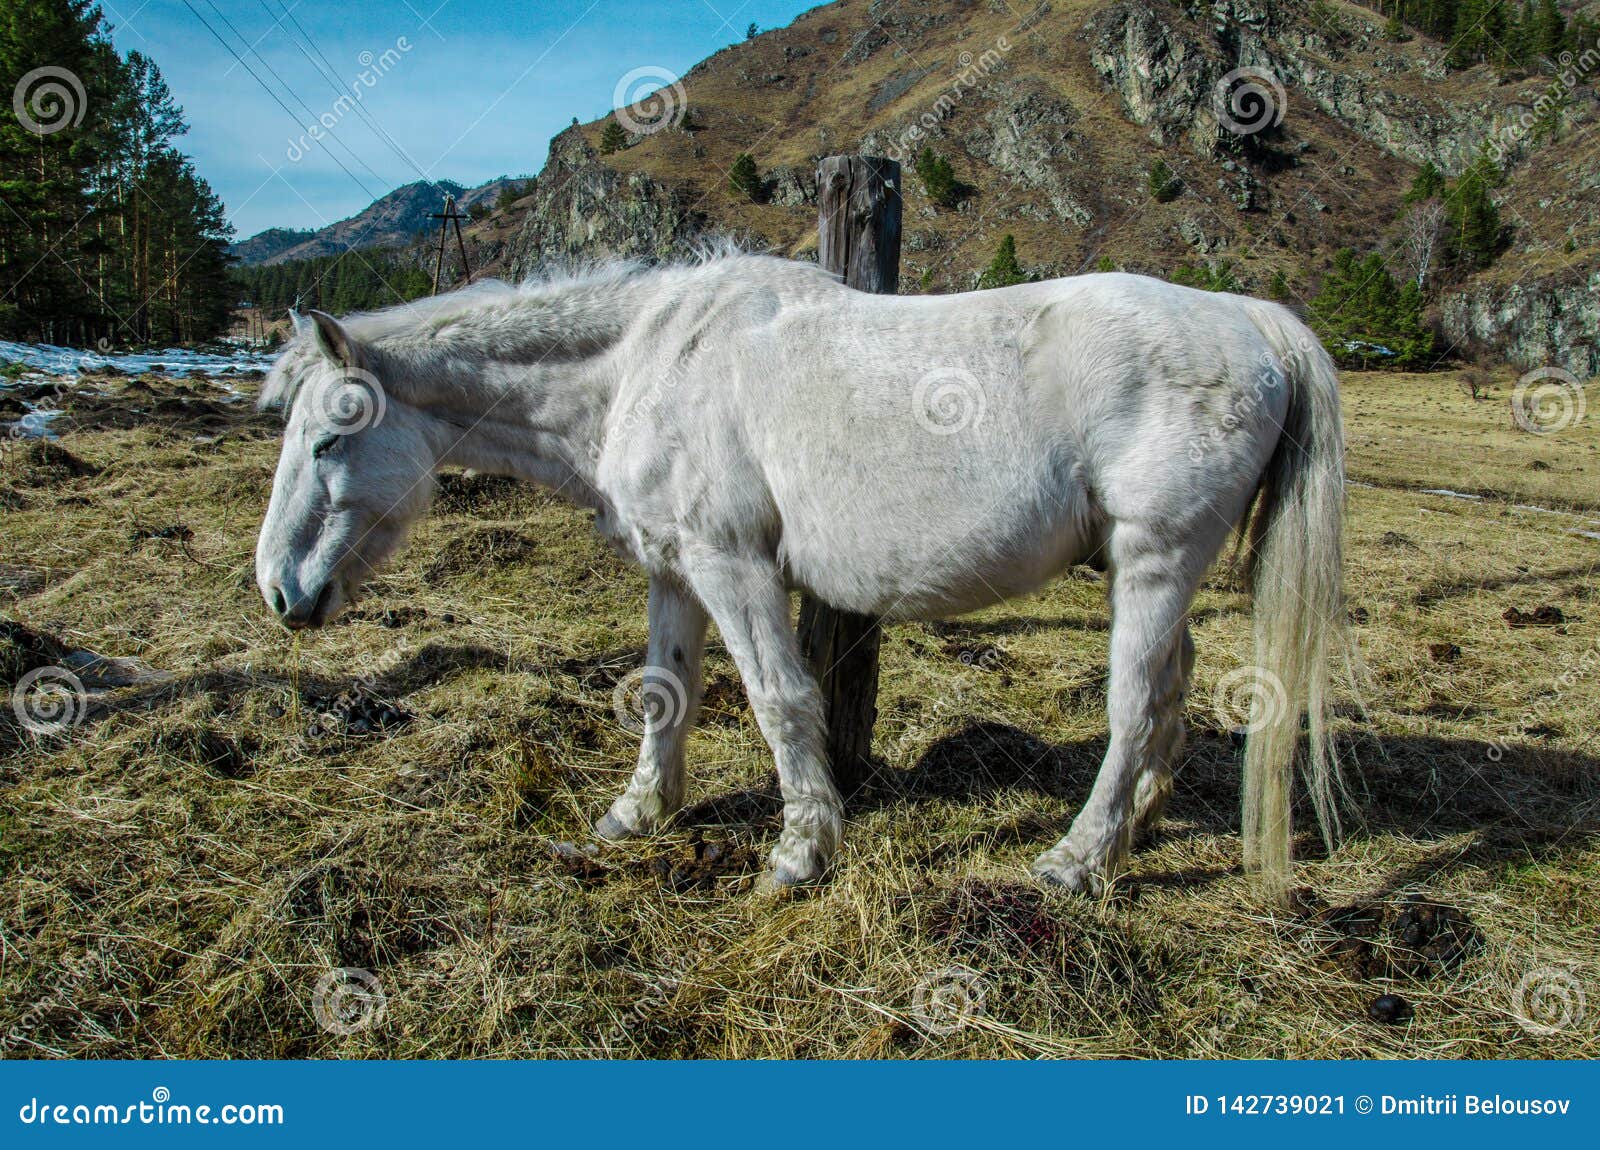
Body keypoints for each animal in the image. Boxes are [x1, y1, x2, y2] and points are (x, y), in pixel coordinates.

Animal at [254, 250, 1345, 896]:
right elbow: (667, 692)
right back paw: (1137, 823)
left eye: (328, 436)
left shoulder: (730, 564)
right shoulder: (677, 570)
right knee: (1170, 695)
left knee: (1133, 706)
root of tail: (1252, 320)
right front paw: (636, 813)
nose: (278, 592)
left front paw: (799, 852)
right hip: (1144, 571)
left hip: (1155, 563)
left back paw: (1077, 859)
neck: (650, 359)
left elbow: (780, 700)